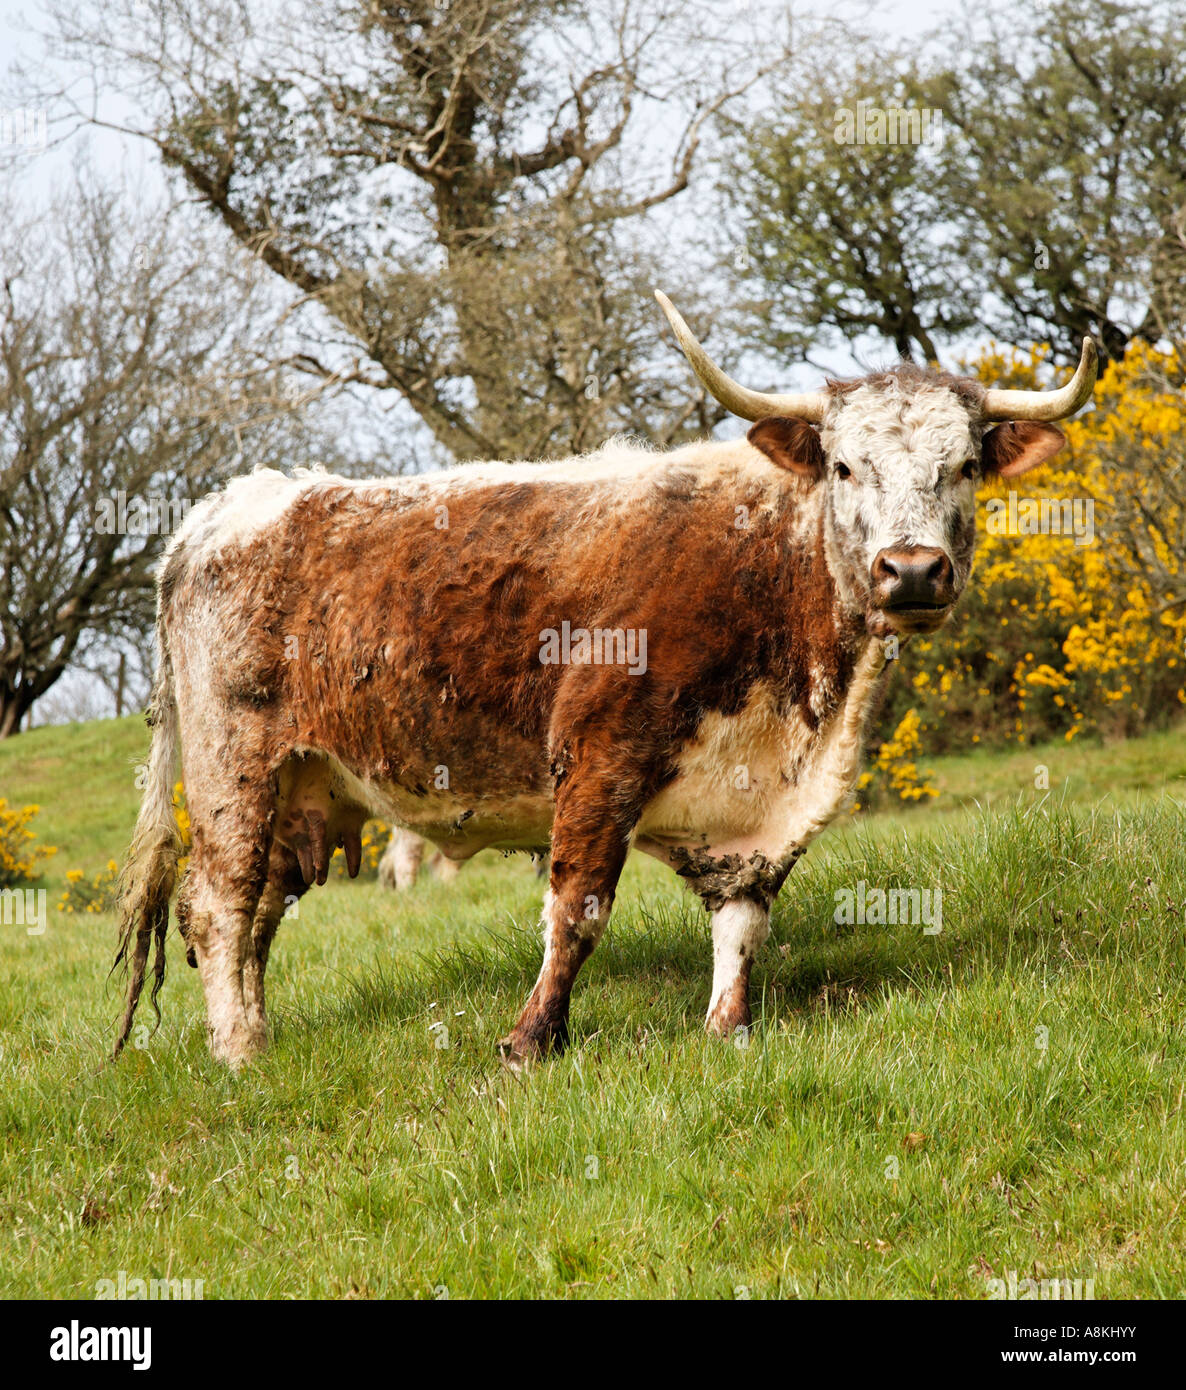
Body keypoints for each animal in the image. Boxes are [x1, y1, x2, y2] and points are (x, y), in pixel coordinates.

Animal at [112, 291, 1097, 1069]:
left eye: (963, 467)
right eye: (847, 466)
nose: (914, 570)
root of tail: (219, 510)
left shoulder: (760, 813)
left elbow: (744, 919)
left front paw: (727, 1030)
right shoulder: (598, 759)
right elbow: (578, 910)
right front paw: (530, 1041)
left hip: (305, 787)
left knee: (259, 915)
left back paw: (259, 1035)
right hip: (235, 770)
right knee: (222, 907)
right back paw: (239, 1055)